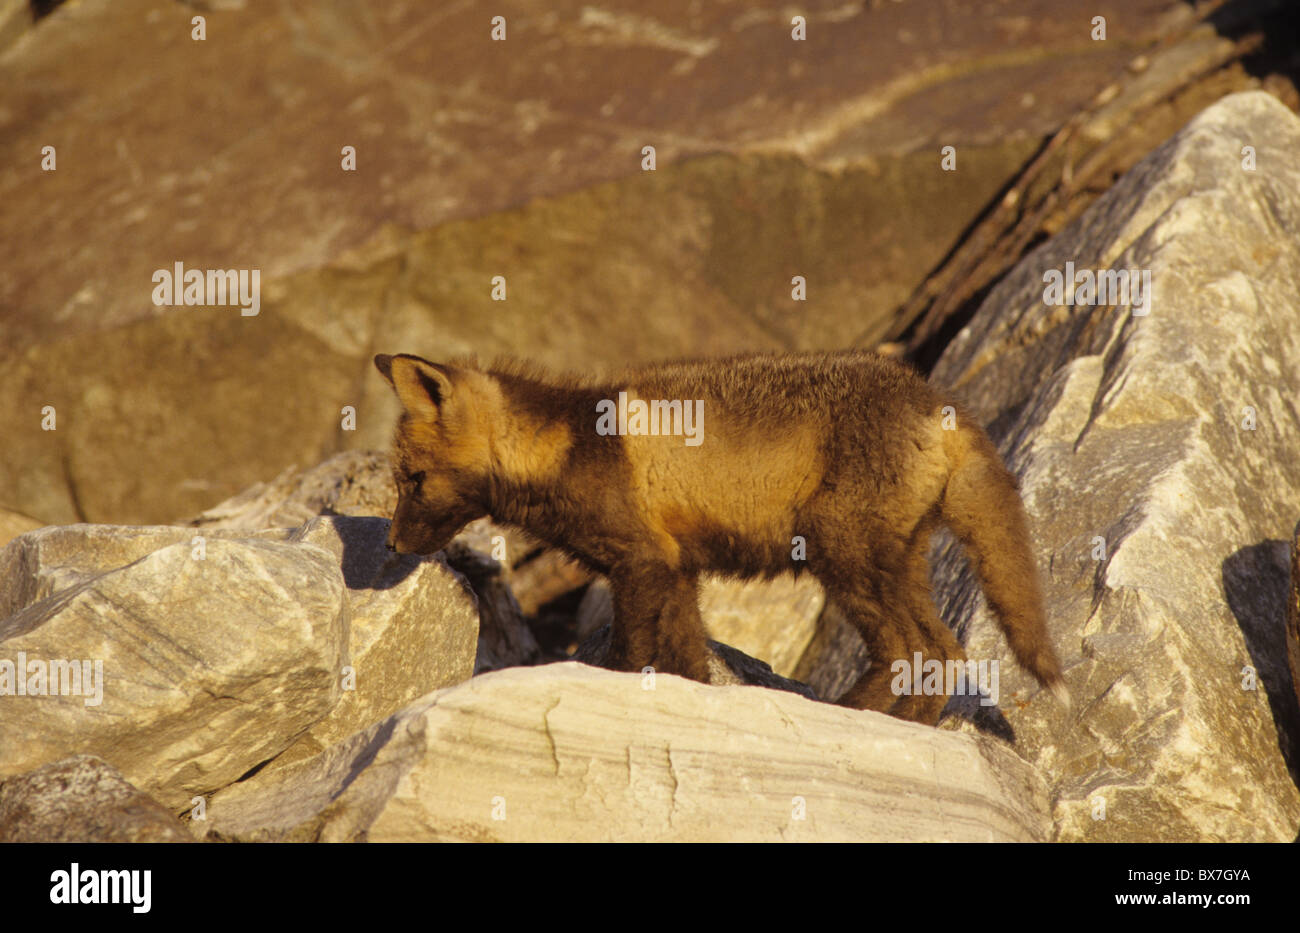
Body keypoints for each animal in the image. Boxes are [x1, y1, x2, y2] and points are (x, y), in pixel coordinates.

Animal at [374, 349, 1068, 725]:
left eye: (413, 480)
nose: (391, 546)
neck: (561, 450)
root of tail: (934, 397)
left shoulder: (642, 565)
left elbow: (629, 657)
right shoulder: (678, 572)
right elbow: (688, 666)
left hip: (844, 557)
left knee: (926, 650)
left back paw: (856, 716)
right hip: (890, 561)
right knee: (939, 651)